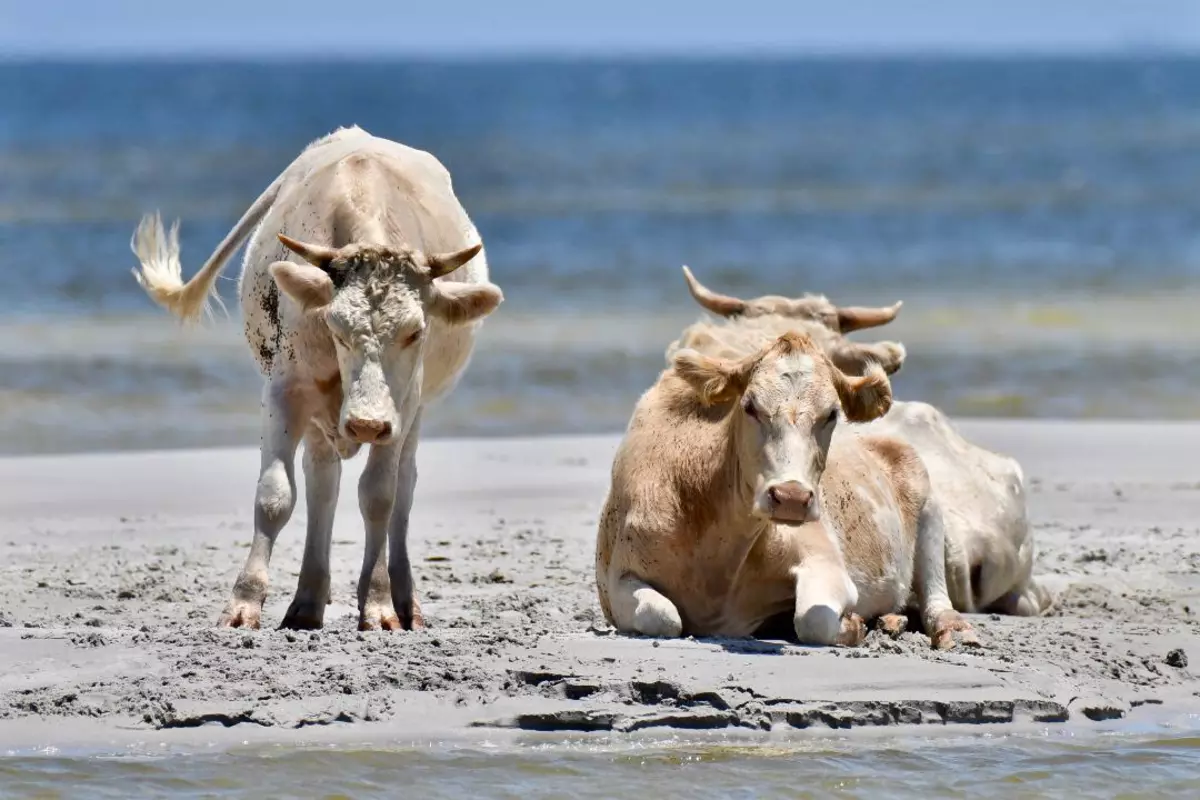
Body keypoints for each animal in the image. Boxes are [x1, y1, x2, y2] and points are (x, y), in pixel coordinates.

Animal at [130, 125, 501, 633]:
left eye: (416, 331)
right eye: (336, 327)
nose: (366, 424)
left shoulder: (402, 406)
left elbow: (379, 497)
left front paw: (379, 606)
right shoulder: (285, 391)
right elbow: (275, 495)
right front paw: (243, 603)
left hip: (414, 413)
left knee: (402, 488)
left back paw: (403, 600)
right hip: (320, 416)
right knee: (322, 481)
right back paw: (307, 600)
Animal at [590, 331, 974, 652]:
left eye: (831, 414)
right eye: (750, 406)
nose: (791, 498)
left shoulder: (825, 561)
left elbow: (813, 619)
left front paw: (852, 625)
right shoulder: (616, 578)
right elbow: (662, 618)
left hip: (928, 501)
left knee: (936, 595)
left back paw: (951, 629)